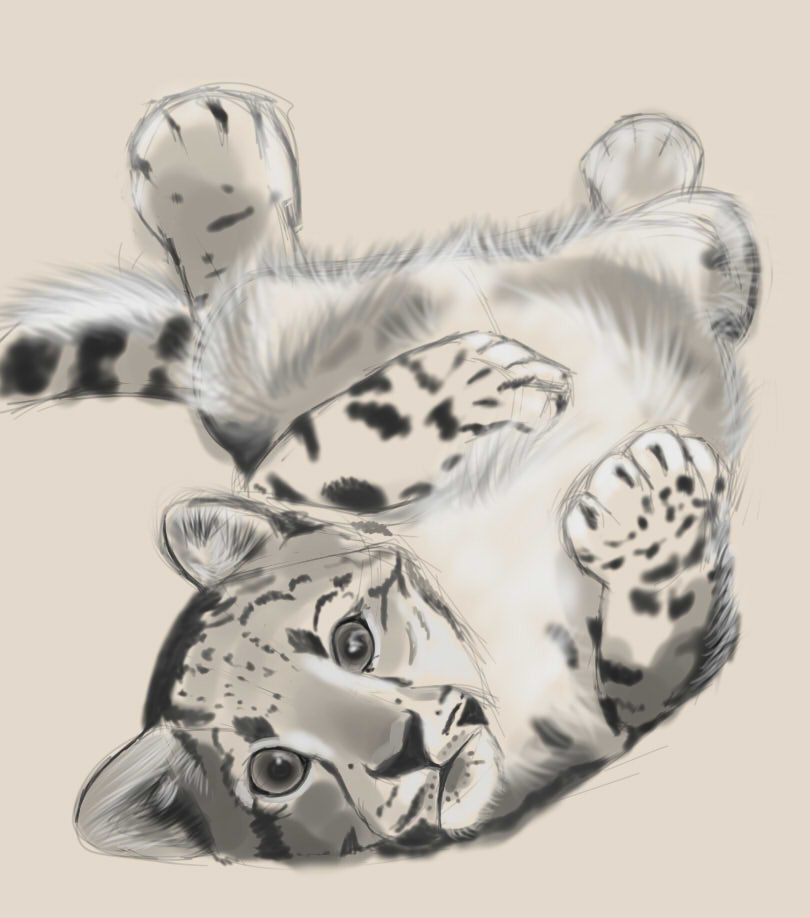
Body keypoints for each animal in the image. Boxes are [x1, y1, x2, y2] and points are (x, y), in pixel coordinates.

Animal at [0, 83, 760, 864]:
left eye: (353, 642)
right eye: (277, 770)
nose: (407, 749)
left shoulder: (287, 482)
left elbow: (317, 456)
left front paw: (489, 387)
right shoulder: (619, 716)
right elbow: (652, 655)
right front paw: (648, 493)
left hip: (286, 356)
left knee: (245, 310)